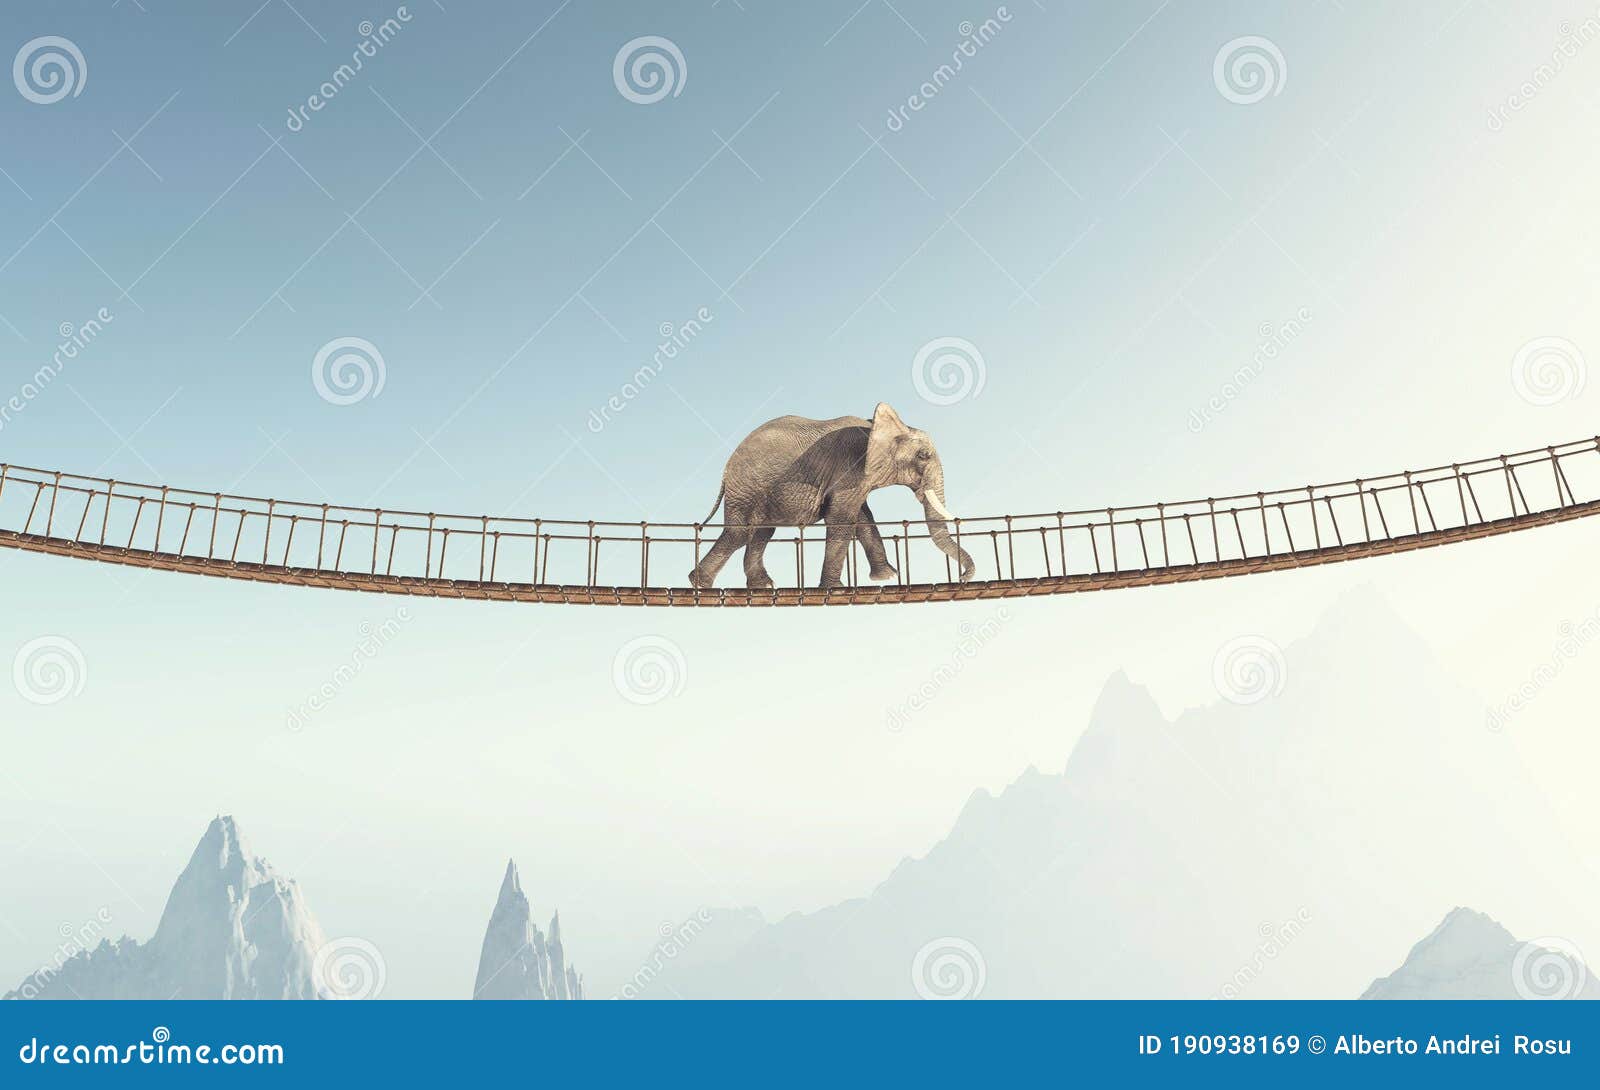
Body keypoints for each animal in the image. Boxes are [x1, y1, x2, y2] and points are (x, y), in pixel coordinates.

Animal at [687, 403, 978, 590]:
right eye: (924, 456)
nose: (963, 579)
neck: (875, 426)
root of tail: (725, 472)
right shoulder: (849, 469)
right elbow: (841, 519)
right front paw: (835, 588)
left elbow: (862, 518)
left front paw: (886, 577)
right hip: (748, 488)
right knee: (740, 533)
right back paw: (700, 584)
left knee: (762, 532)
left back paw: (762, 587)